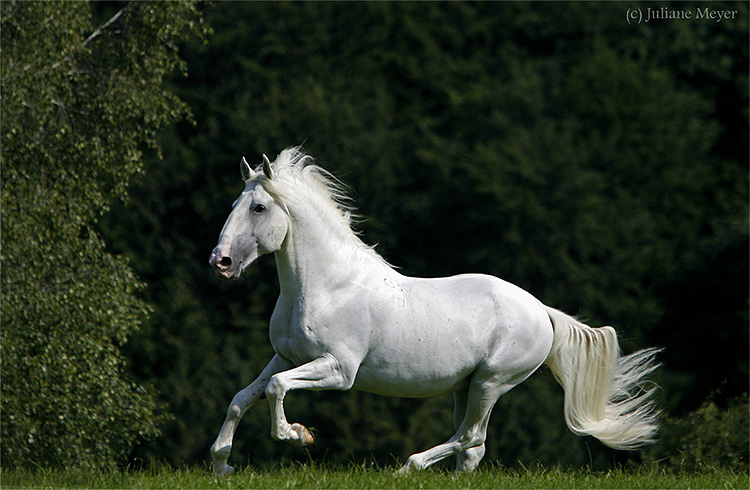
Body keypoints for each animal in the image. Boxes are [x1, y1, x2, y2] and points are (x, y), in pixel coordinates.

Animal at [208, 147, 661, 475]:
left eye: (259, 208)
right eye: (232, 203)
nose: (221, 261)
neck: (329, 286)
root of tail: (543, 312)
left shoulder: (338, 370)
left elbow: (276, 389)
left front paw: (299, 436)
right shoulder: (285, 356)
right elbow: (242, 398)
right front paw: (221, 464)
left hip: (491, 383)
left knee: (470, 437)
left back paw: (407, 468)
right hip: (467, 387)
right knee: (473, 447)